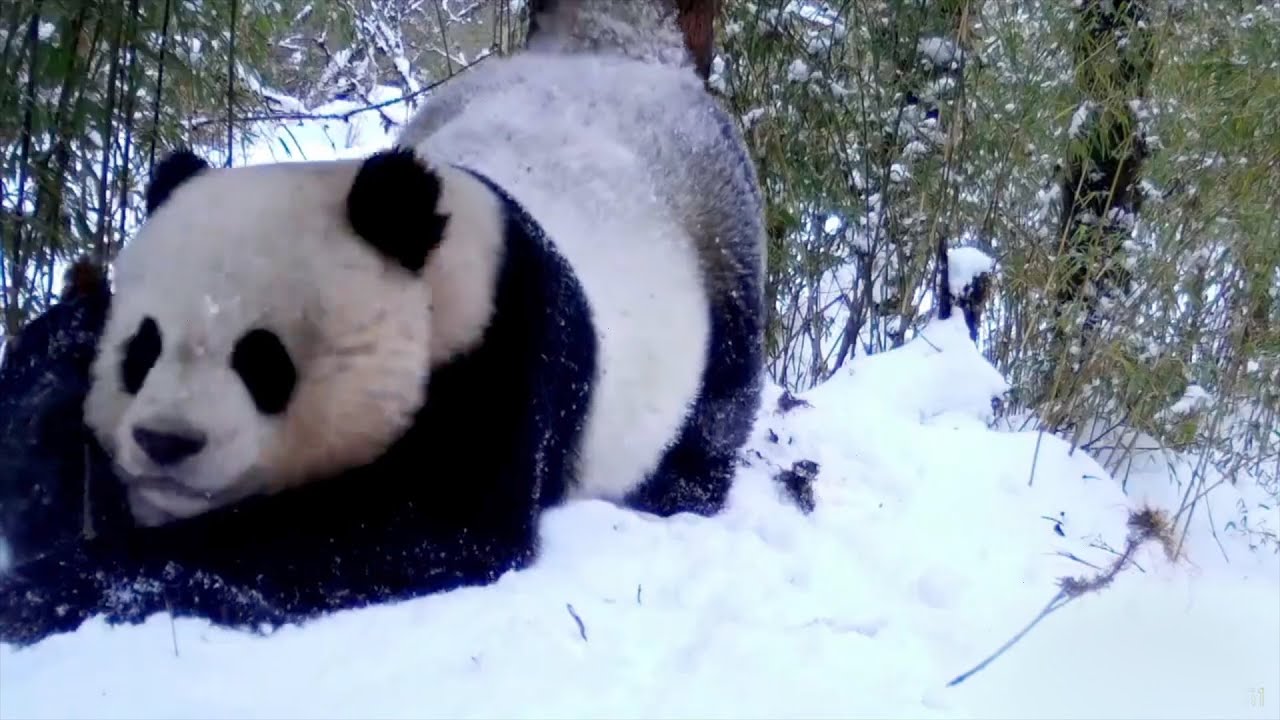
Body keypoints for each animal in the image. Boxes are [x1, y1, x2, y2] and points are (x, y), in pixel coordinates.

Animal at [0, 0, 765, 646]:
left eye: (262, 361)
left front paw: (57, 587)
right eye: (141, 350)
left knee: (720, 397)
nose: (166, 442)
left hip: (720, 233)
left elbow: (399, 530)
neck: (442, 263)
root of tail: (622, 47)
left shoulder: (504, 351)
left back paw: (678, 491)